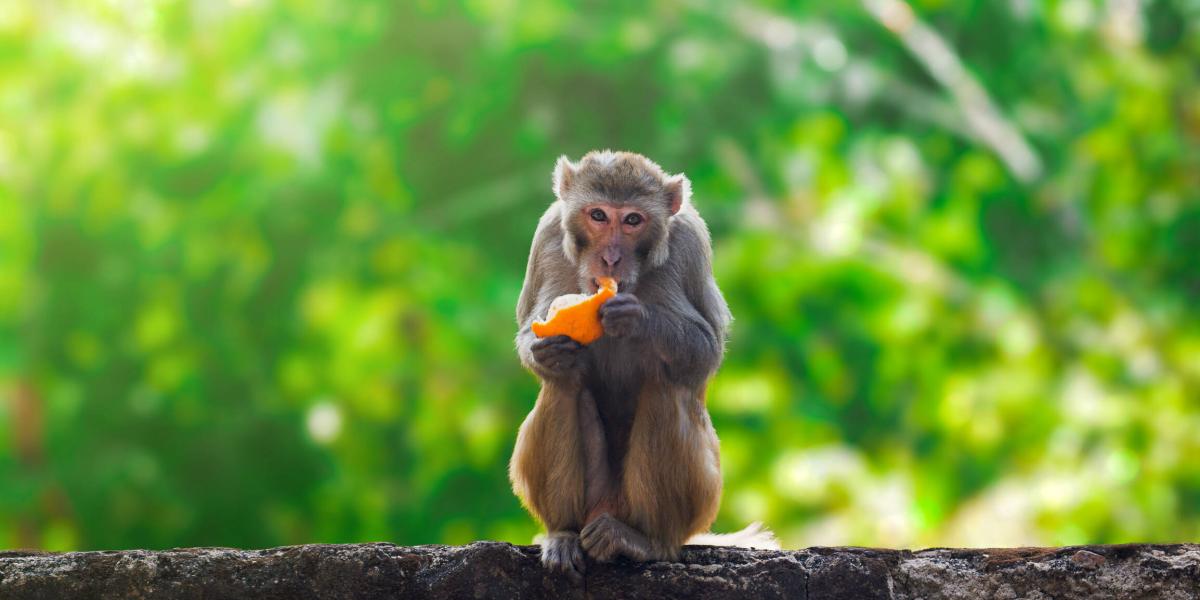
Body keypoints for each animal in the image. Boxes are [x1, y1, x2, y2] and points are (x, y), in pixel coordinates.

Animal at [509, 150, 777, 580]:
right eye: (598, 215)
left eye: (633, 220)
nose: (610, 258)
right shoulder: (548, 234)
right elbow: (532, 329)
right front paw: (545, 349)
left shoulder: (690, 242)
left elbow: (706, 349)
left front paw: (637, 320)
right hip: (596, 497)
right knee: (564, 384)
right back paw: (563, 533)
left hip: (698, 501)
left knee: (663, 381)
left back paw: (645, 542)